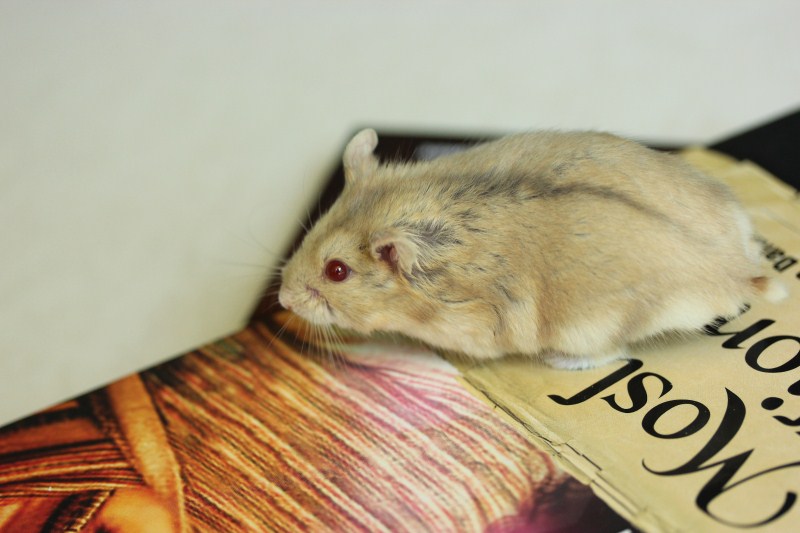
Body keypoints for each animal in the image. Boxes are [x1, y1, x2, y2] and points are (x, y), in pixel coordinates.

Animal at [278, 128, 784, 369]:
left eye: (337, 271)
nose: (281, 299)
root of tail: (738, 269)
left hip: (595, 327)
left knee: (612, 352)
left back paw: (558, 361)